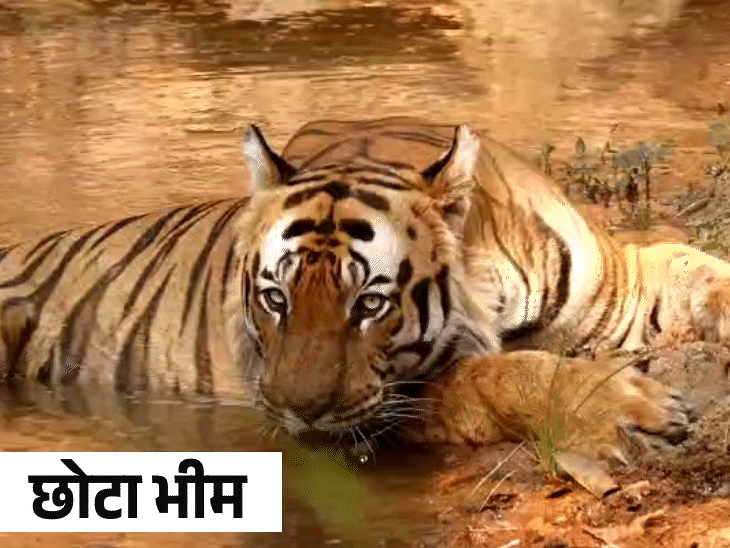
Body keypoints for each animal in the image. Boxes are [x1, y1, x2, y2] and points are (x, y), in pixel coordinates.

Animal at [0, 117, 722, 464]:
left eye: (369, 304)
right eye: (276, 300)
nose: (295, 413)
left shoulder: (622, 286)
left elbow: (698, 268)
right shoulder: (410, 394)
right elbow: (510, 374)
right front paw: (631, 411)